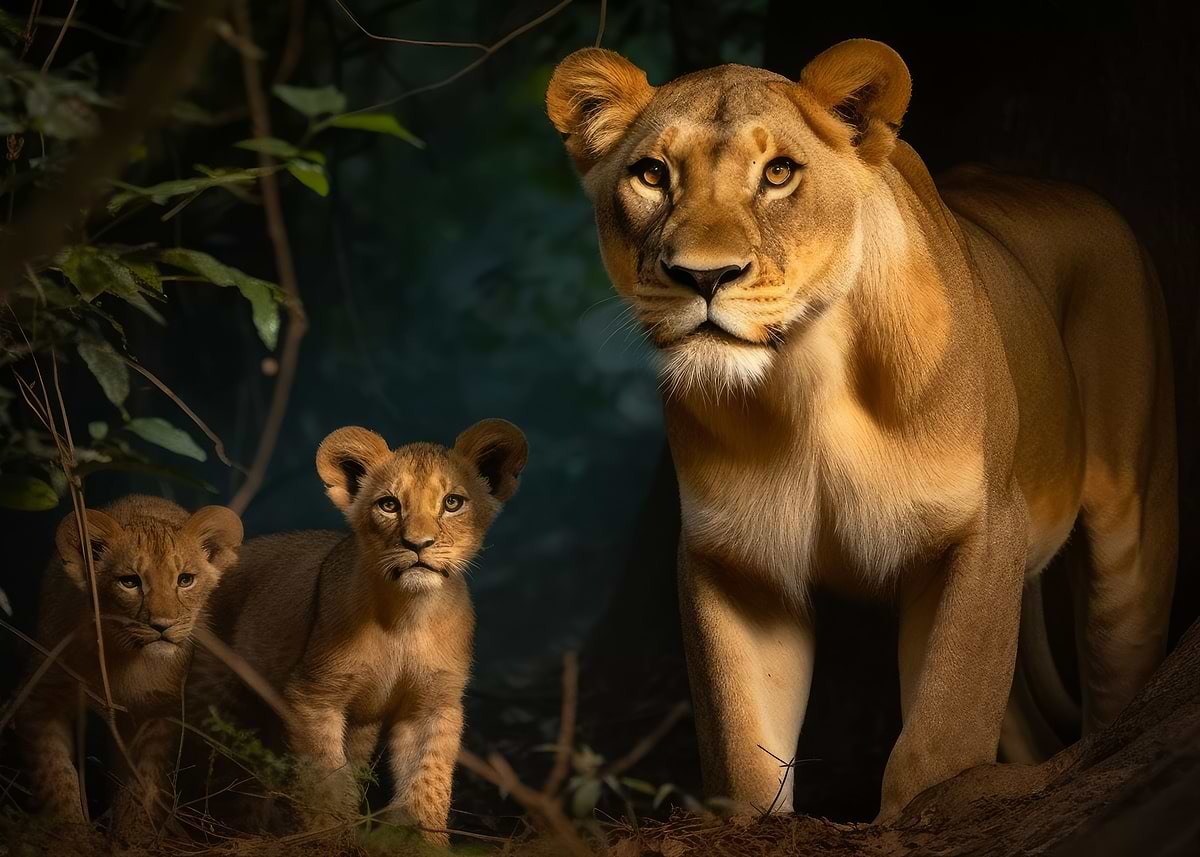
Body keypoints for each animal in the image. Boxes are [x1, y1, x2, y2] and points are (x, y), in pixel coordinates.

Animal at [17, 495, 243, 835]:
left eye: (185, 580)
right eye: (129, 582)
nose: (162, 625)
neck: (124, 656)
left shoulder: (161, 711)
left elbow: (143, 782)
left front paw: (132, 836)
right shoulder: (43, 696)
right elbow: (56, 773)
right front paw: (72, 833)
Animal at [191, 419, 527, 845]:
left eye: (453, 503)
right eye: (389, 504)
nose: (418, 544)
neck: (408, 616)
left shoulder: (434, 702)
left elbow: (428, 780)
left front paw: (424, 843)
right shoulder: (313, 695)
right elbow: (325, 778)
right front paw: (330, 839)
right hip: (218, 693)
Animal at [546, 40, 1177, 819]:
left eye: (778, 173)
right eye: (652, 174)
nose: (704, 277)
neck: (805, 379)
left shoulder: (982, 528)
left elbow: (940, 734)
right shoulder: (736, 561)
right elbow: (742, 751)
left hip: (1131, 520)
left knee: (1117, 675)